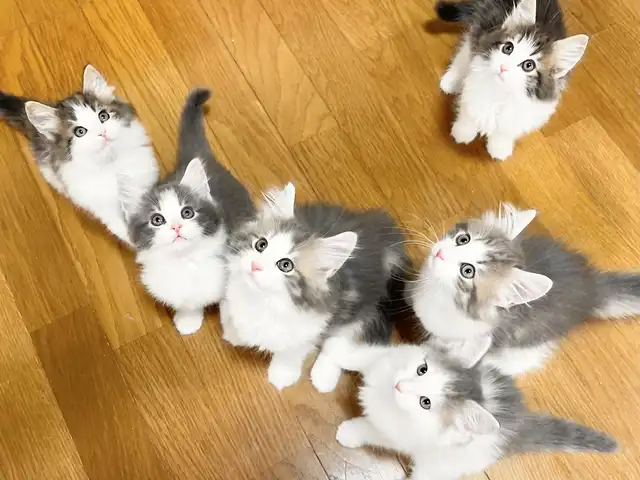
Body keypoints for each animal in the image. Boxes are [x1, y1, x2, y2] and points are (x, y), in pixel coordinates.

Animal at [0, 65, 158, 245]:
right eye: (80, 131)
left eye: (103, 116)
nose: (102, 132)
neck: (110, 162)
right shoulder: (103, 206)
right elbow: (123, 228)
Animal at [128, 88, 255, 335]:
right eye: (157, 219)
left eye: (187, 212)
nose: (176, 226)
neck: (186, 262)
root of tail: (198, 156)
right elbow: (188, 301)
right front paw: (188, 319)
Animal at [221, 182, 410, 392]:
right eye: (261, 244)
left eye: (285, 265)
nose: (255, 265)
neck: (263, 301)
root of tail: (376, 230)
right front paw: (235, 332)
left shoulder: (314, 322)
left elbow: (296, 348)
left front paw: (283, 372)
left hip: (359, 303)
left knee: (343, 335)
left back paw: (324, 376)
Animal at [326, 338, 617, 480]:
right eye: (422, 369)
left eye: (425, 402)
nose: (400, 386)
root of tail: (520, 423)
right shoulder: (393, 355)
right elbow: (365, 356)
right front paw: (337, 351)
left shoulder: (396, 434)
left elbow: (371, 430)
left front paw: (350, 431)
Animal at [436, 0, 589, 160]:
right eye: (508, 48)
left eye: (528, 65)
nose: (503, 67)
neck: (501, 91)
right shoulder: (478, 68)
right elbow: (470, 105)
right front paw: (463, 131)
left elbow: (508, 128)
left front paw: (499, 147)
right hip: (483, 26)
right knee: (466, 47)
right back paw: (450, 81)